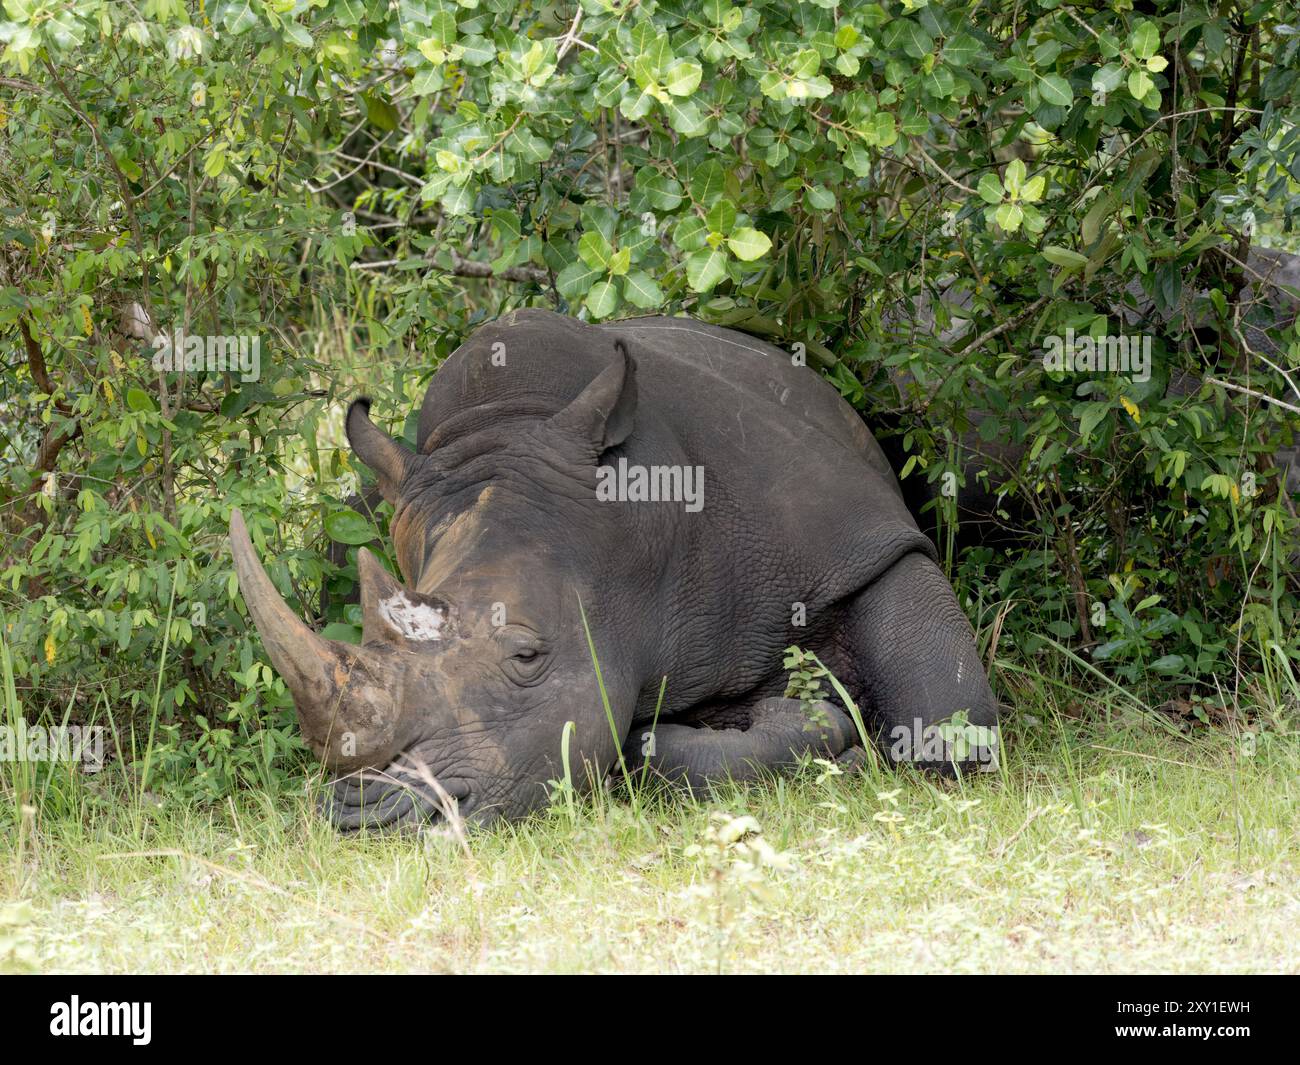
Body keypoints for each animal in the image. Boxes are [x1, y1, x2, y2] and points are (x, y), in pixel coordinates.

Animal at [229, 309, 998, 830]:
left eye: (527, 655)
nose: (371, 817)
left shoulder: (856, 536)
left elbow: (948, 718)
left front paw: (827, 732)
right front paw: (802, 722)